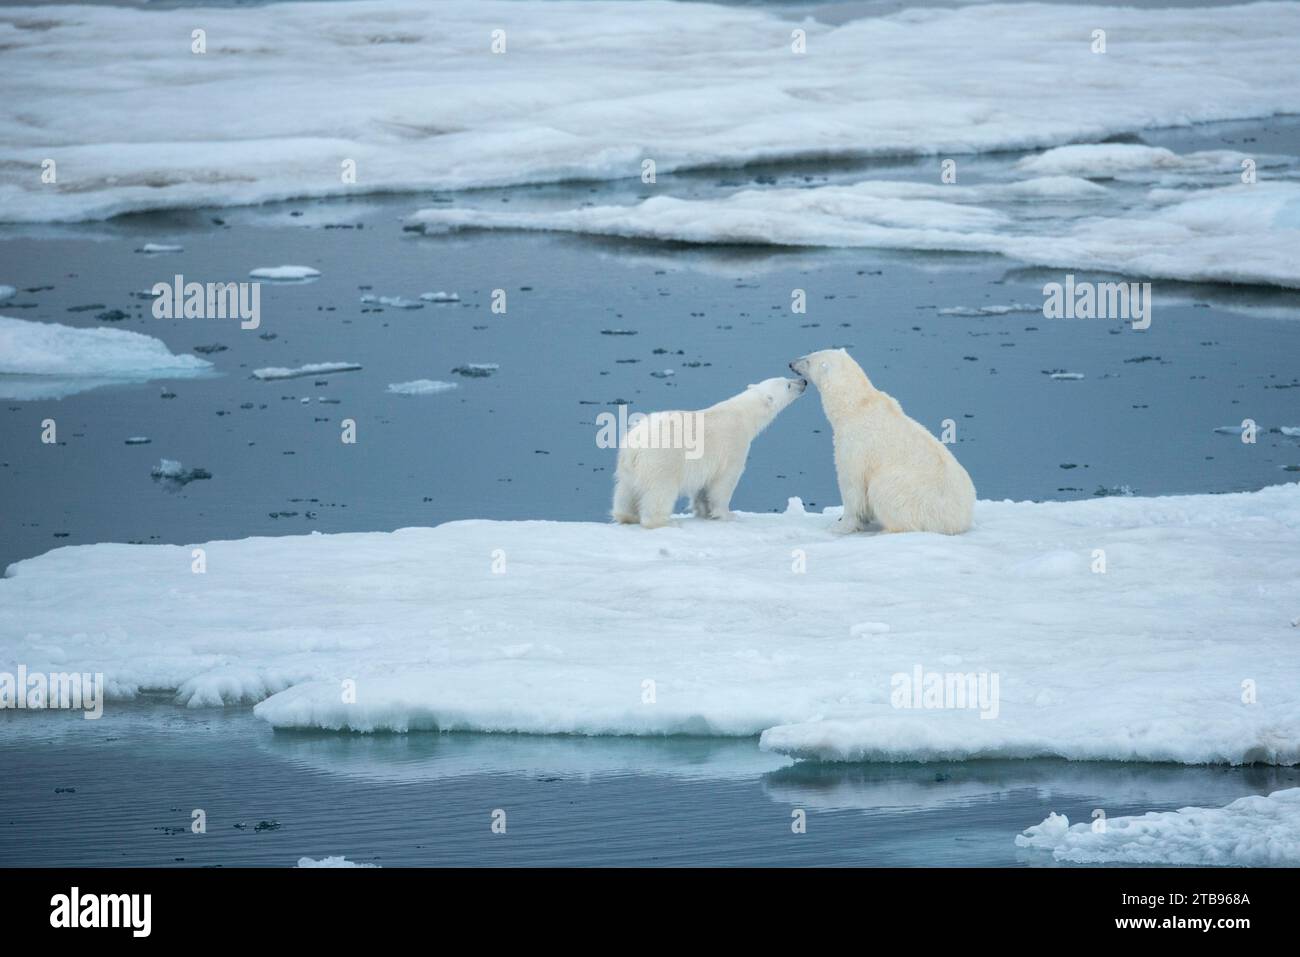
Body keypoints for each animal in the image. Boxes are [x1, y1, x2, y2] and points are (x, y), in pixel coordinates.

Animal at [612, 377, 805, 528]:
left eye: (787, 379)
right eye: (788, 385)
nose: (803, 381)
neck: (744, 414)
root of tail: (635, 444)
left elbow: (703, 486)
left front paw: (703, 511)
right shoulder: (733, 446)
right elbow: (724, 483)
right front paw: (727, 515)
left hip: (627, 466)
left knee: (625, 491)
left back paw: (627, 516)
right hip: (661, 461)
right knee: (660, 492)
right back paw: (665, 522)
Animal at [789, 349, 975, 535]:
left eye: (808, 360)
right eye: (809, 354)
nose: (791, 363)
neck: (855, 407)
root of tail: (959, 521)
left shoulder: (855, 445)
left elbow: (852, 485)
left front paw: (840, 525)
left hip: (916, 498)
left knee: (883, 489)